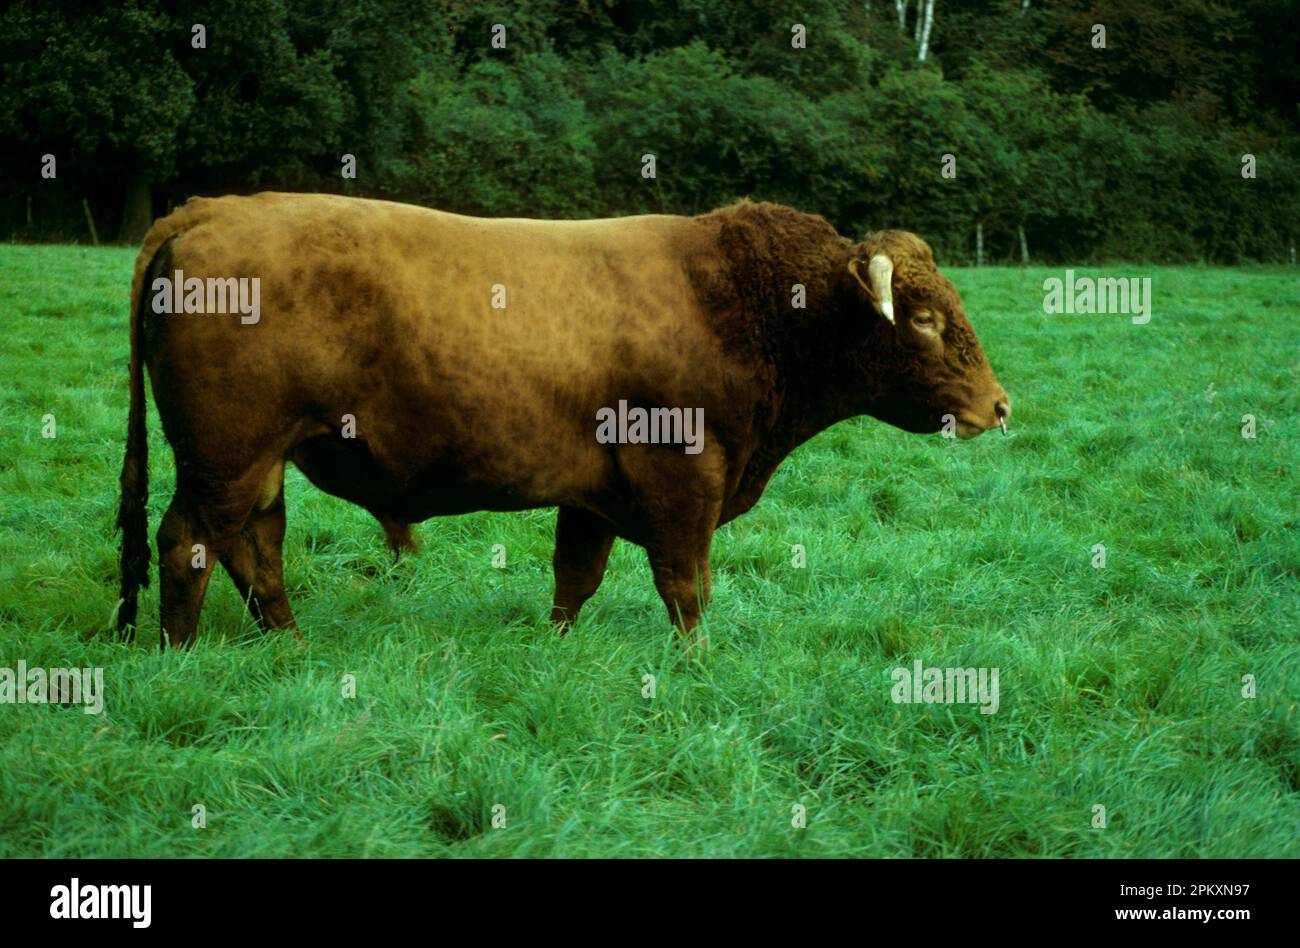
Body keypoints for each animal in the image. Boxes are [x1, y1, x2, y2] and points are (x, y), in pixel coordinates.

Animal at [116, 193, 1010, 649]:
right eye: (925, 318)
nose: (998, 405)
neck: (744, 302)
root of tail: (209, 209)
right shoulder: (685, 478)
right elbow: (688, 585)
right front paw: (695, 663)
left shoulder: (594, 492)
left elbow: (574, 578)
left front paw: (555, 650)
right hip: (229, 455)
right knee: (189, 543)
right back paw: (182, 652)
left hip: (255, 461)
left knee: (253, 547)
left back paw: (289, 642)